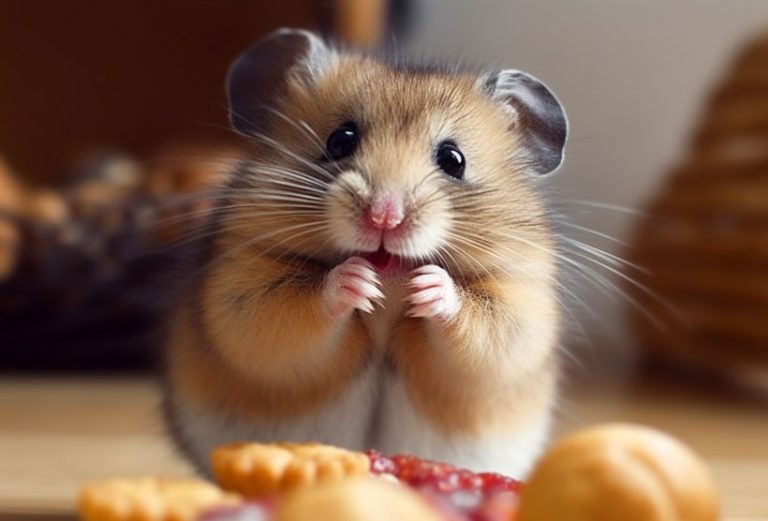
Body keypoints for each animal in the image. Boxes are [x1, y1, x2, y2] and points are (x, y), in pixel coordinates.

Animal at [162, 28, 567, 479]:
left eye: (453, 159)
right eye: (340, 140)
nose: (384, 216)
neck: (390, 279)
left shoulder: (520, 307)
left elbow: (480, 326)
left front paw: (427, 285)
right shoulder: (242, 290)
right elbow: (299, 310)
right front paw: (357, 280)